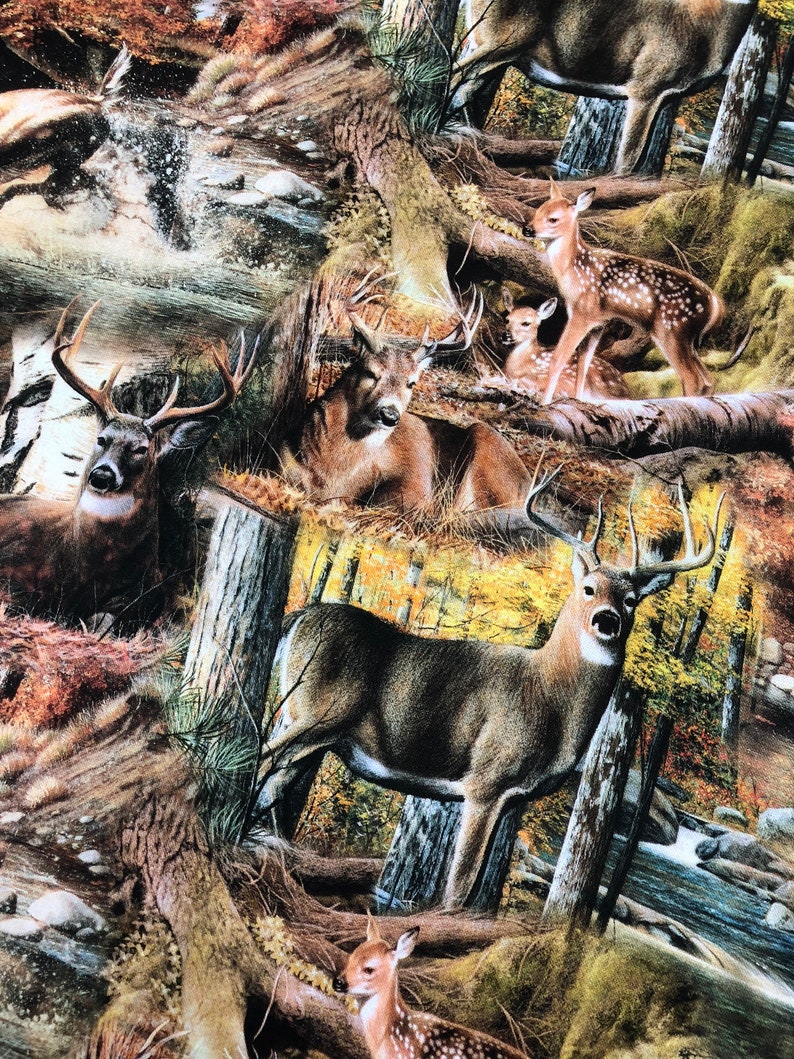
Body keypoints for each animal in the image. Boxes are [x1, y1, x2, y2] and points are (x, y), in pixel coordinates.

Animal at [257, 470, 723, 907]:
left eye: (630, 600)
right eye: (588, 588)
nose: (606, 619)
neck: (549, 696)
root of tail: (300, 617)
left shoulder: (512, 796)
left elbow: (473, 883)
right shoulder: (486, 779)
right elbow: (459, 886)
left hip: (315, 728)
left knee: (271, 788)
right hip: (317, 712)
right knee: (259, 757)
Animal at [279, 295, 534, 514]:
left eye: (411, 383)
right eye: (371, 372)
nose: (389, 415)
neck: (331, 474)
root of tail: (528, 485)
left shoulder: (418, 478)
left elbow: (381, 501)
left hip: (484, 442)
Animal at [453, 0, 756, 174]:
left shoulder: (668, 96)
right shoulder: (646, 84)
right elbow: (628, 158)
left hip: (497, 46)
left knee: (464, 90)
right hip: (505, 38)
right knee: (455, 75)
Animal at [530, 180, 723, 404]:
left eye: (553, 219)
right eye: (538, 210)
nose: (527, 229)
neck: (575, 270)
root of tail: (716, 303)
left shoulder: (582, 314)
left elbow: (558, 359)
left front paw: (544, 403)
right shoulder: (598, 322)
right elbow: (584, 364)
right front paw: (578, 400)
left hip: (672, 330)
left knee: (693, 379)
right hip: (687, 339)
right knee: (708, 378)